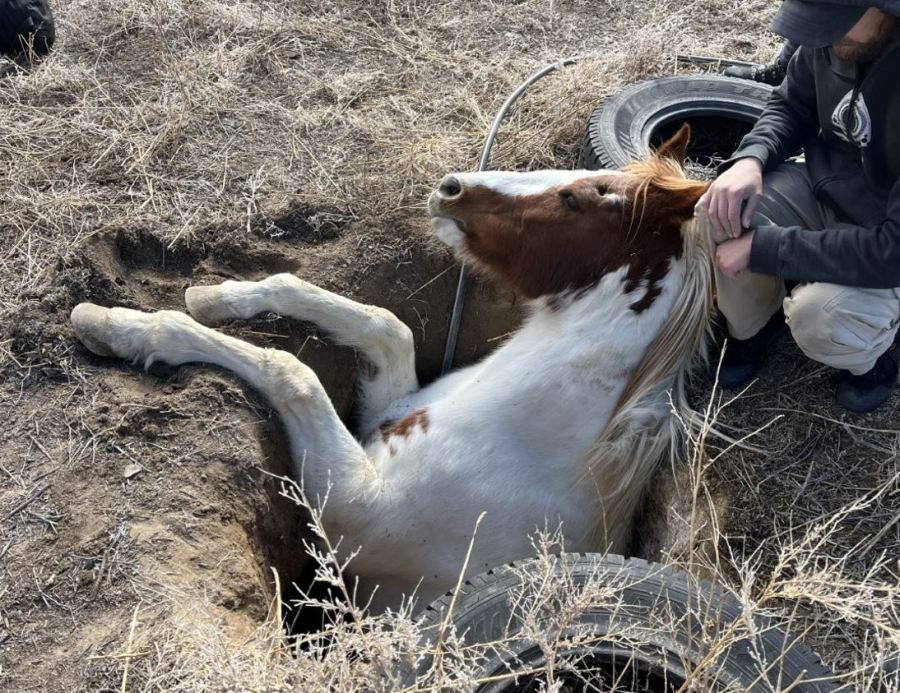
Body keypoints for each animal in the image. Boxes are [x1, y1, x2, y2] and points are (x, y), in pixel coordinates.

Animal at [70, 124, 713, 613]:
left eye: (575, 199)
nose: (450, 188)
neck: (530, 435)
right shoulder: (379, 411)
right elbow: (382, 324)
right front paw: (215, 296)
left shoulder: (348, 510)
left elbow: (291, 373)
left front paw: (117, 325)